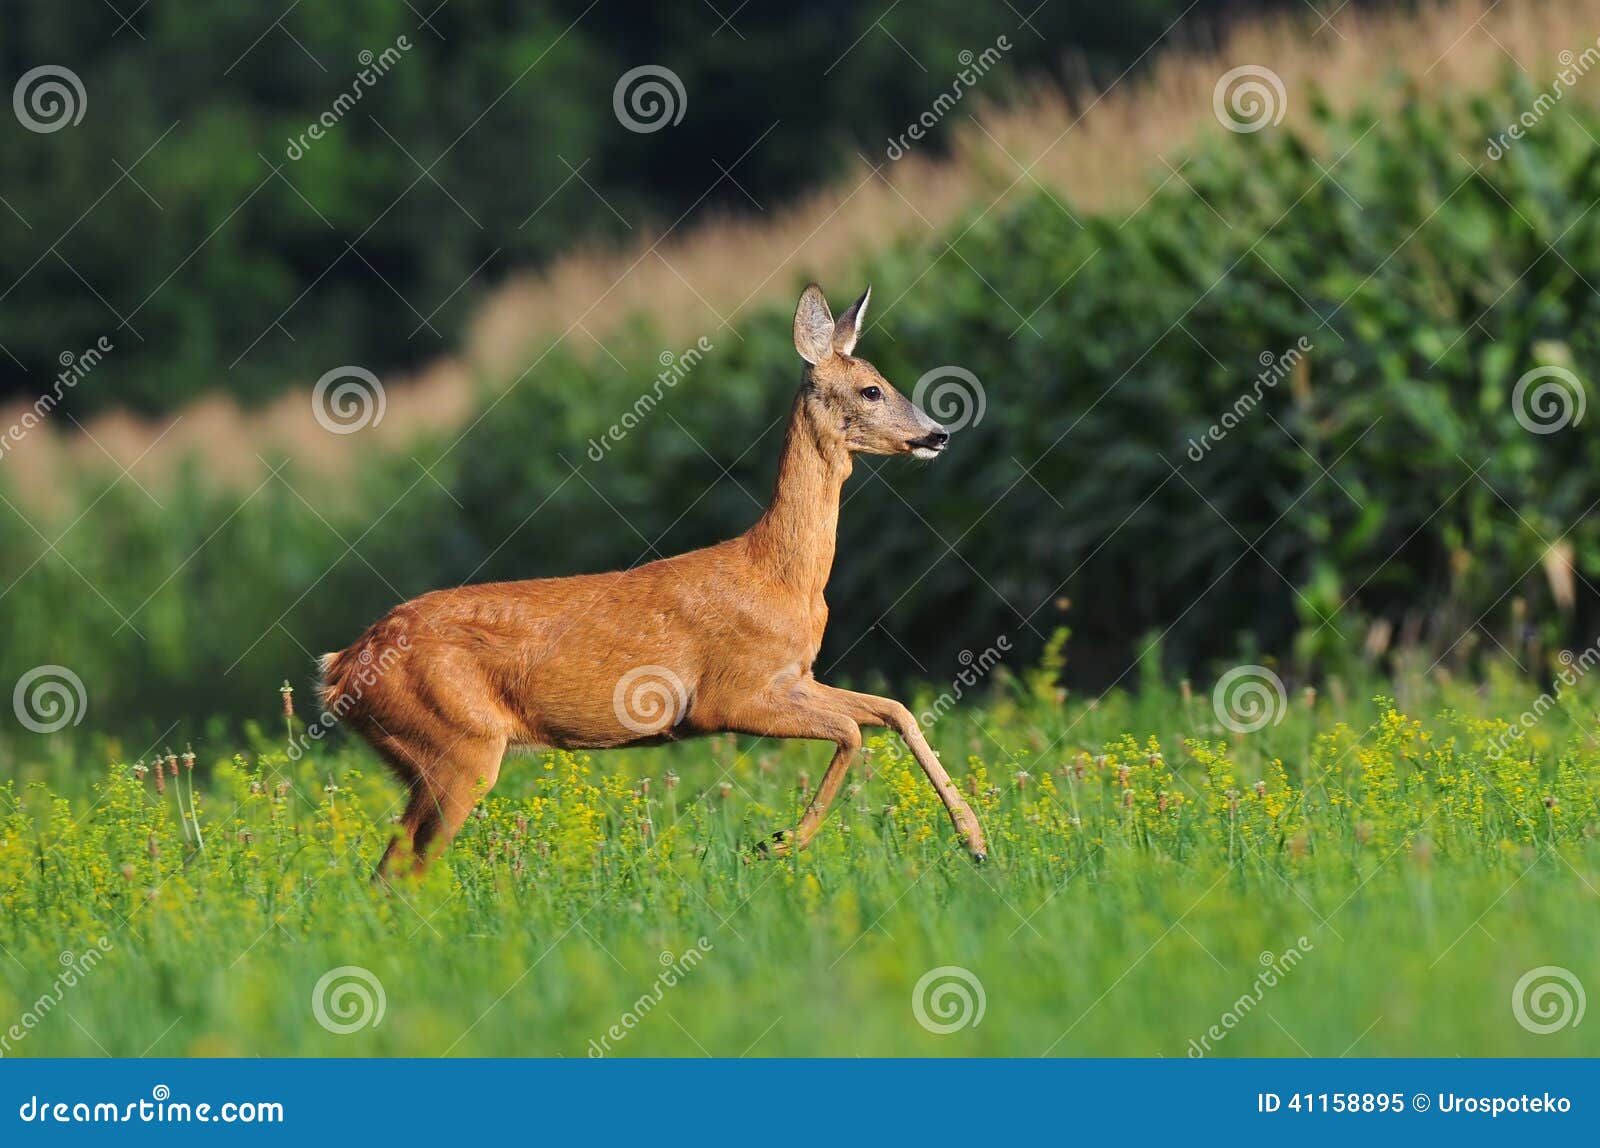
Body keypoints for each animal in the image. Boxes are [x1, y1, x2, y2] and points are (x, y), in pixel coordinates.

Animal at [320, 283, 989, 877]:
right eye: (871, 389)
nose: (938, 433)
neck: (779, 573)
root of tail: (341, 667)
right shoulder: (728, 694)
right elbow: (852, 730)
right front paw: (776, 844)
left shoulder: (793, 676)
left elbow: (893, 710)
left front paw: (975, 841)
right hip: (458, 745)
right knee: (402, 871)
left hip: (429, 754)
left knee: (390, 868)